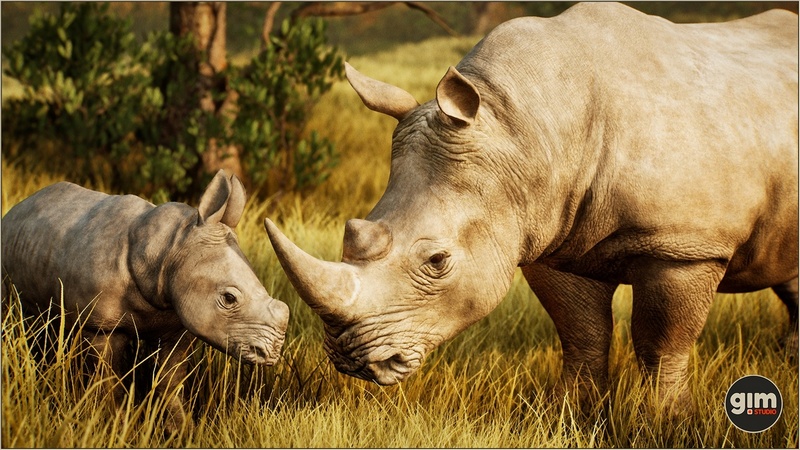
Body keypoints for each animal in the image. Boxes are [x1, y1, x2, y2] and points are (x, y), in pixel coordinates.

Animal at [2, 170, 290, 430]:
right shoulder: (101, 326)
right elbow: (107, 382)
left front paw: (181, 432)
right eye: (229, 298)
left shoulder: (177, 322)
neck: (170, 247)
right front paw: (115, 427)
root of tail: (19, 207)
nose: (272, 353)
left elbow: (169, 382)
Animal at [265, 2, 798, 409]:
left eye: (437, 261)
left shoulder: (685, 245)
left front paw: (666, 420)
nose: (353, 361)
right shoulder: (552, 241)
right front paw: (574, 414)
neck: (520, 128)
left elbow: (661, 346)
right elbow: (582, 334)